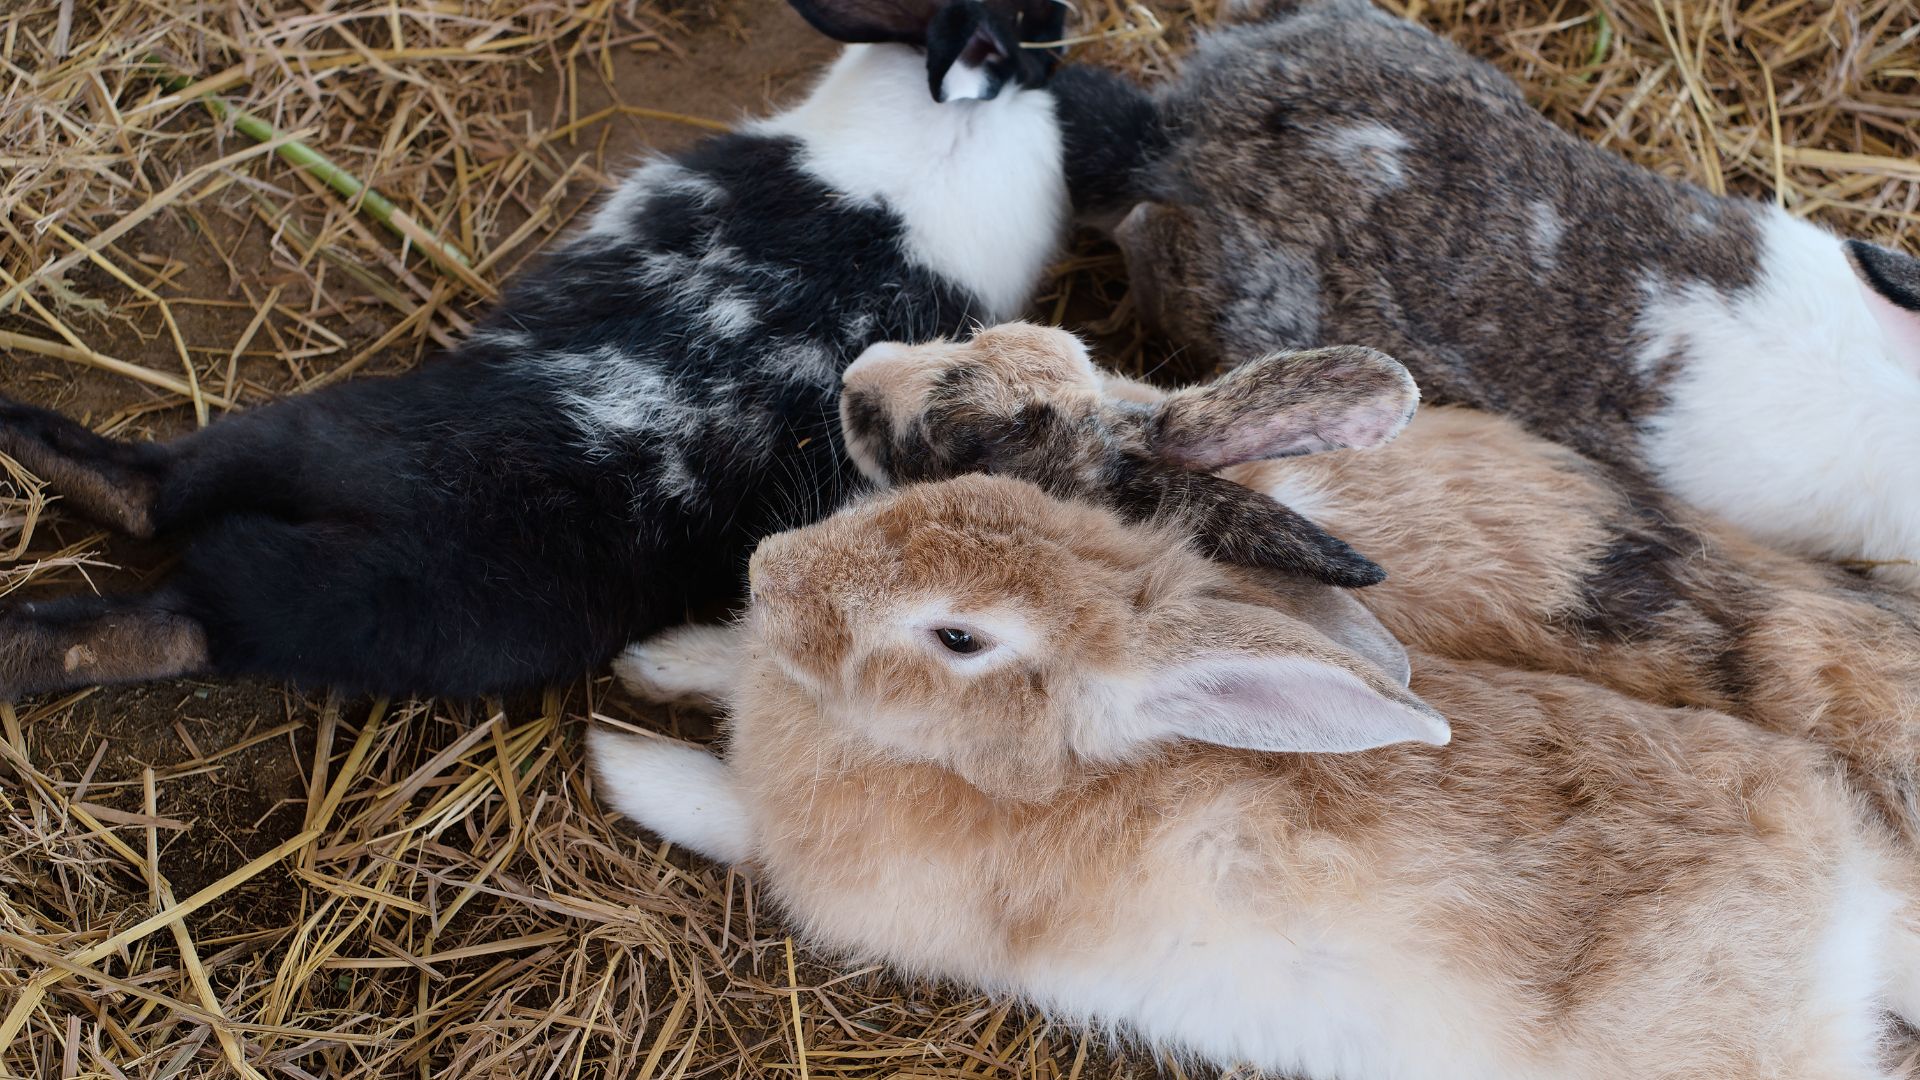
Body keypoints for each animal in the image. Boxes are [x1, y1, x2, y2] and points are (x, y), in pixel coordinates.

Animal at [0, 0, 1149, 700]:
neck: (952, 138)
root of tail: (432, 521)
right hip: (340, 540)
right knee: (173, 557)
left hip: (328, 498)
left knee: (163, 540)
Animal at [594, 472, 1920, 1080]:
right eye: (954, 490)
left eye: (959, 638)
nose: (770, 569)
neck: (1029, 768)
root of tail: (1849, 890)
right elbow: (719, 676)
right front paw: (655, 658)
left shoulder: (841, 884)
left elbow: (726, 815)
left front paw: (619, 759)